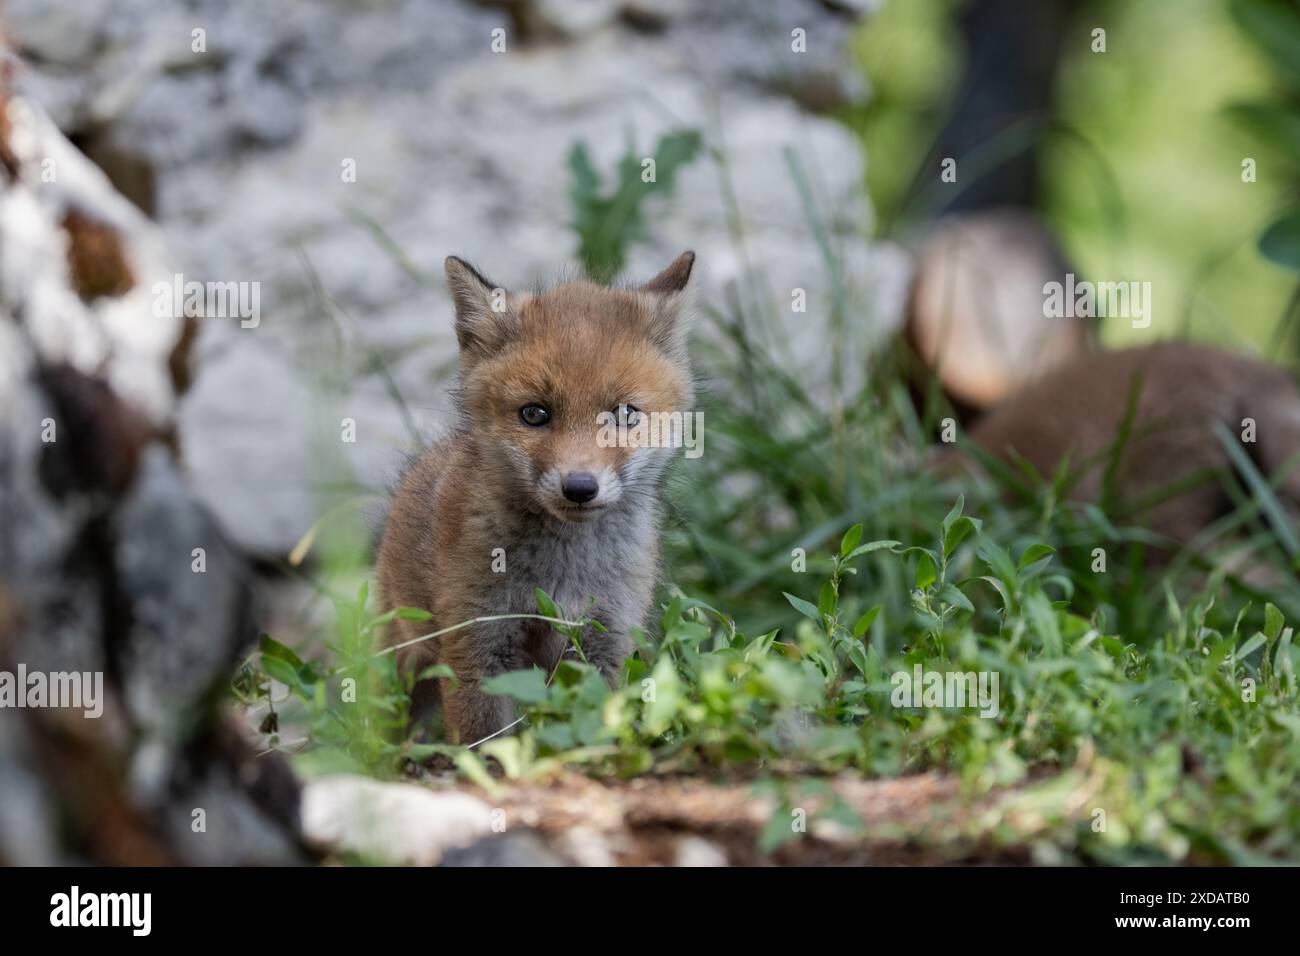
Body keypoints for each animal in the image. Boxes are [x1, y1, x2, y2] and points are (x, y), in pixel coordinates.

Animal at [375, 251, 697, 745]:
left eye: (625, 414)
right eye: (534, 413)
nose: (580, 487)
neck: (565, 571)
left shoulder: (605, 638)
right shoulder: (478, 641)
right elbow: (485, 742)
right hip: (405, 659)